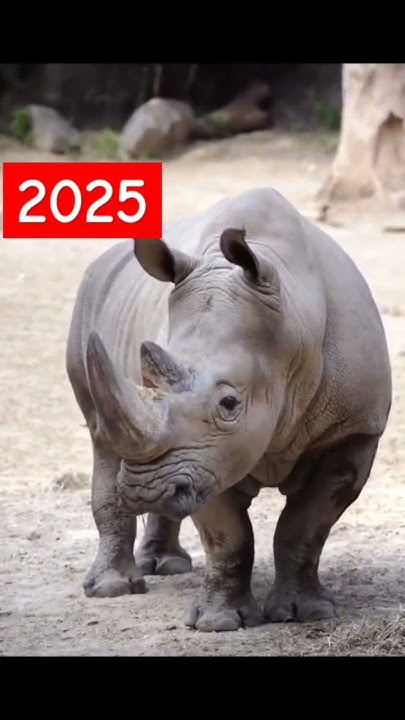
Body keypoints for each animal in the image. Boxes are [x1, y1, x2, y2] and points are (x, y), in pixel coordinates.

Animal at [66, 187, 392, 632]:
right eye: (147, 378)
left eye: (229, 403)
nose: (146, 489)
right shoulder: (206, 458)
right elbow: (227, 536)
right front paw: (219, 623)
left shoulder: (351, 430)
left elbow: (305, 528)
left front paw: (304, 613)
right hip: (89, 298)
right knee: (102, 439)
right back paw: (114, 588)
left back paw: (163, 564)